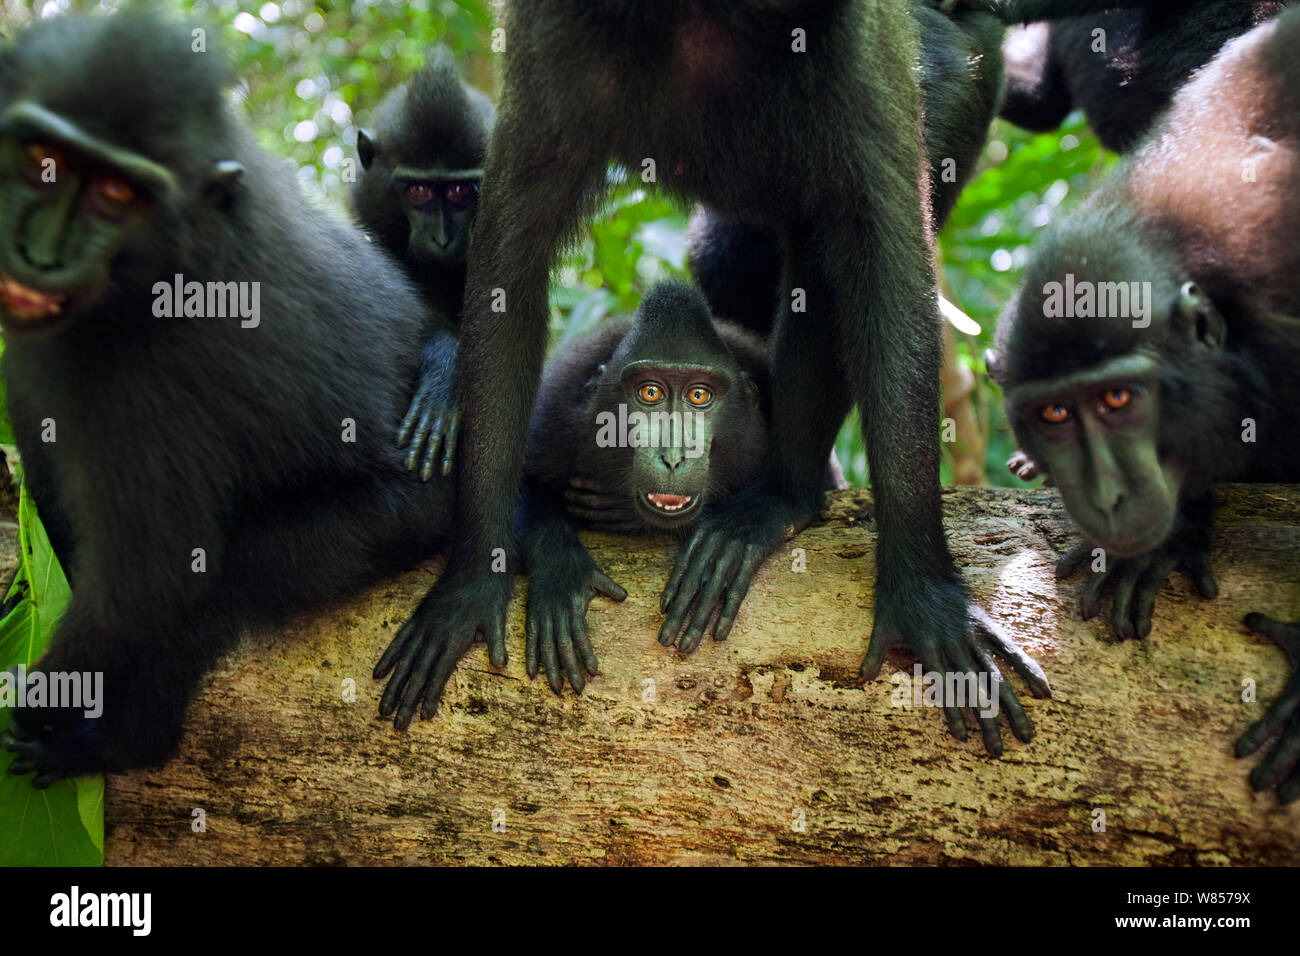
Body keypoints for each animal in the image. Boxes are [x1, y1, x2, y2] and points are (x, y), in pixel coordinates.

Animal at [0, 12, 455, 786]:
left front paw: (40, 708)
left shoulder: (148, 378)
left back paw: (122, 745)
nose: (41, 255)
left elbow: (143, 586)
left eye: (116, 193)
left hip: (405, 511)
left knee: (220, 584)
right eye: (40, 156)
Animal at [375, 0, 1052, 755]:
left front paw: (925, 592)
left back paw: (780, 501)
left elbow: (885, 259)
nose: (674, 450)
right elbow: (510, 266)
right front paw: (476, 577)